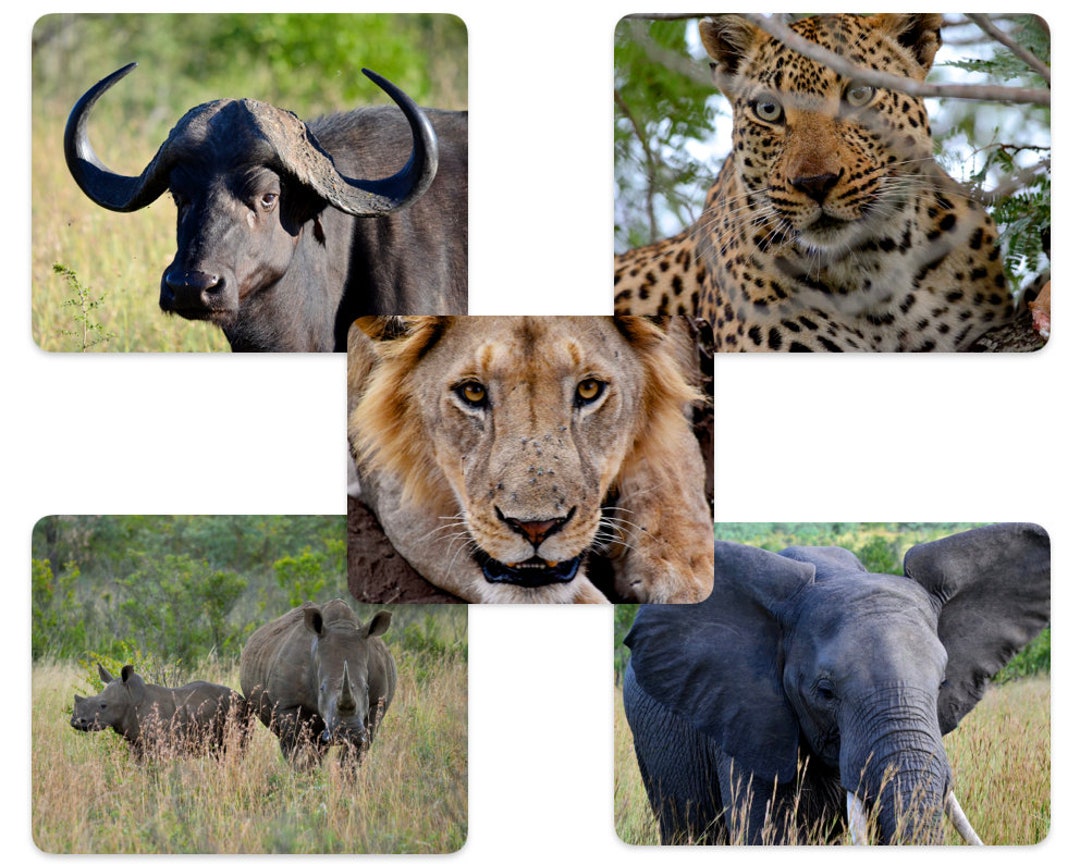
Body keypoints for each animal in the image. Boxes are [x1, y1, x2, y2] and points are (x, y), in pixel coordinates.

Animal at [346, 315, 714, 604]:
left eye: (590, 389)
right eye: (472, 392)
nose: (536, 528)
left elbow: (672, 467)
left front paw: (686, 574)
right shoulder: (397, 498)